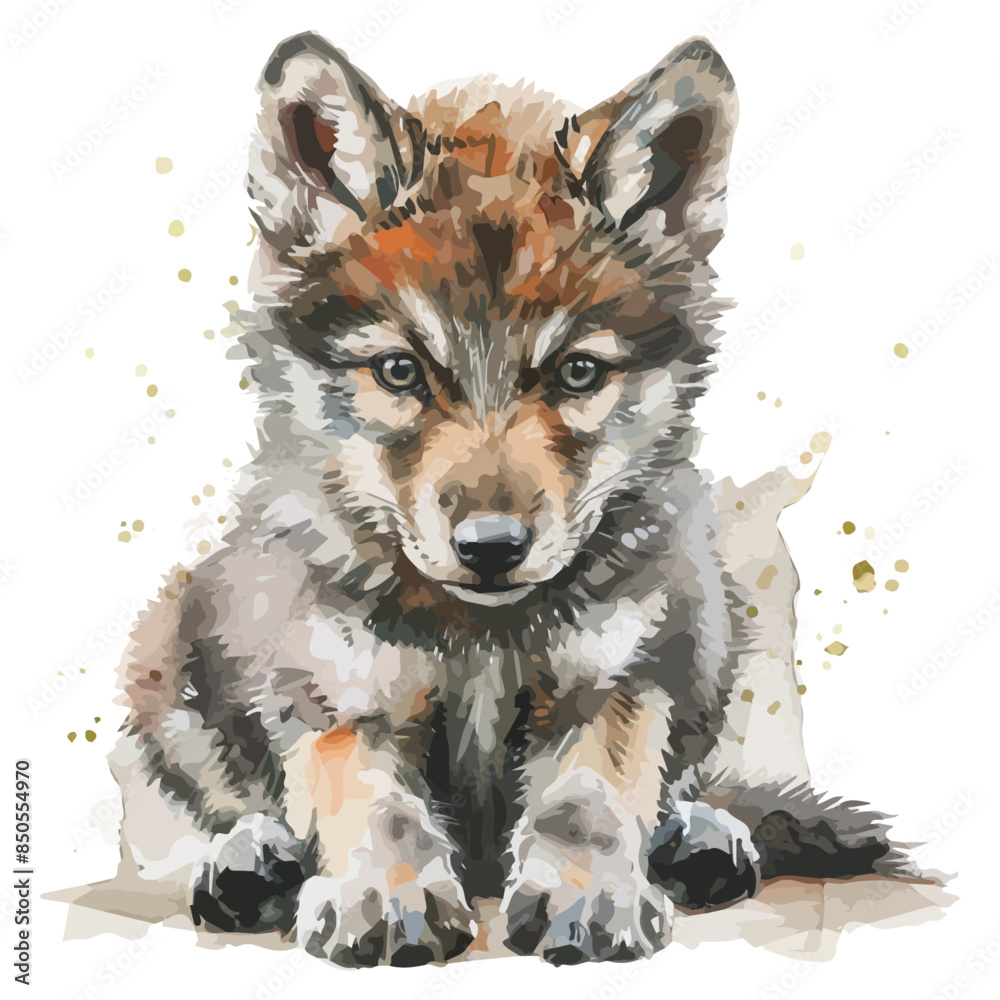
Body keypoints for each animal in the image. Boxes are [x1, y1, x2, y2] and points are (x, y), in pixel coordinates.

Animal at [111, 32, 912, 967]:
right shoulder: (336, 698)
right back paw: (250, 860)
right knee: (228, 800)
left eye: (578, 373)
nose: (491, 547)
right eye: (400, 371)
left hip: (713, 628)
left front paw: (589, 895)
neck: (480, 636)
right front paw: (385, 895)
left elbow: (593, 800)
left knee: (687, 784)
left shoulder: (617, 683)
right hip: (169, 645)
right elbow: (370, 802)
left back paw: (700, 837)